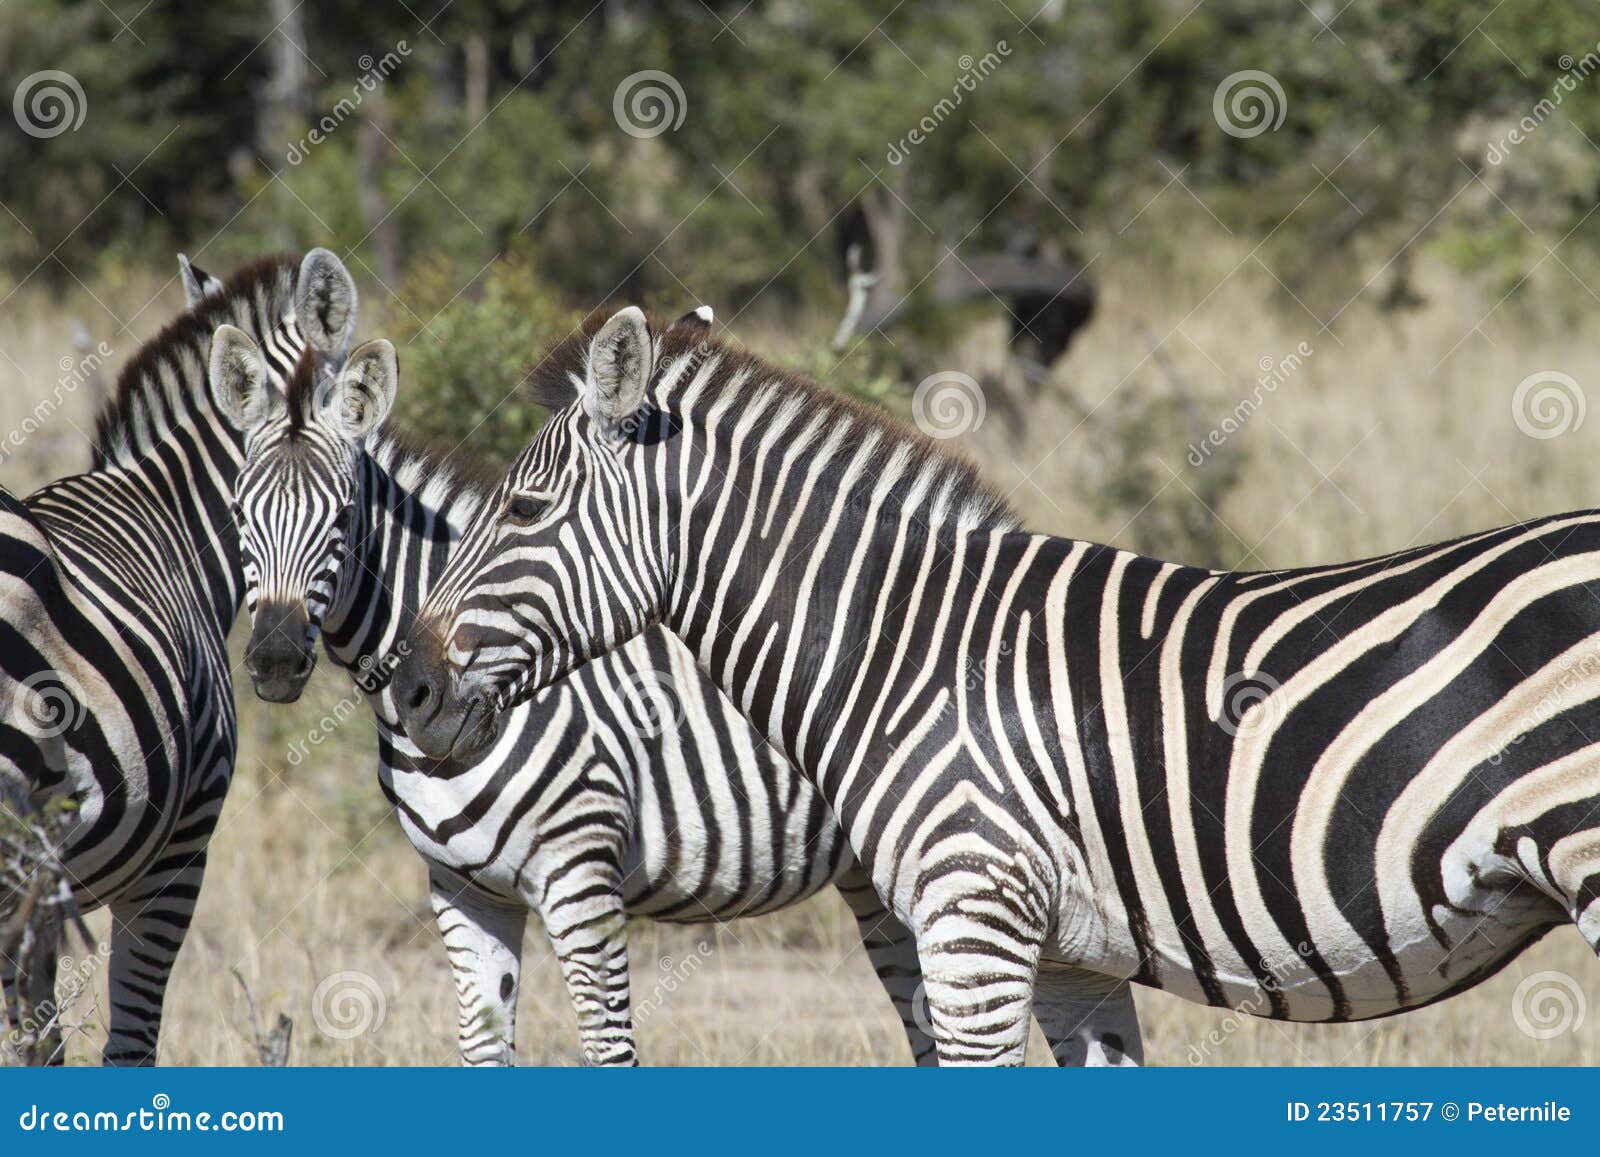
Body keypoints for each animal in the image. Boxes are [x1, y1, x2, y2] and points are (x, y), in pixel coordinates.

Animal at [224, 306, 934, 1065]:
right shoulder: (464, 893)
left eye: (342, 513)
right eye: (236, 512)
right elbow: (481, 1049)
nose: (273, 658)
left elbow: (608, 1049)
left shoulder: (580, 879)